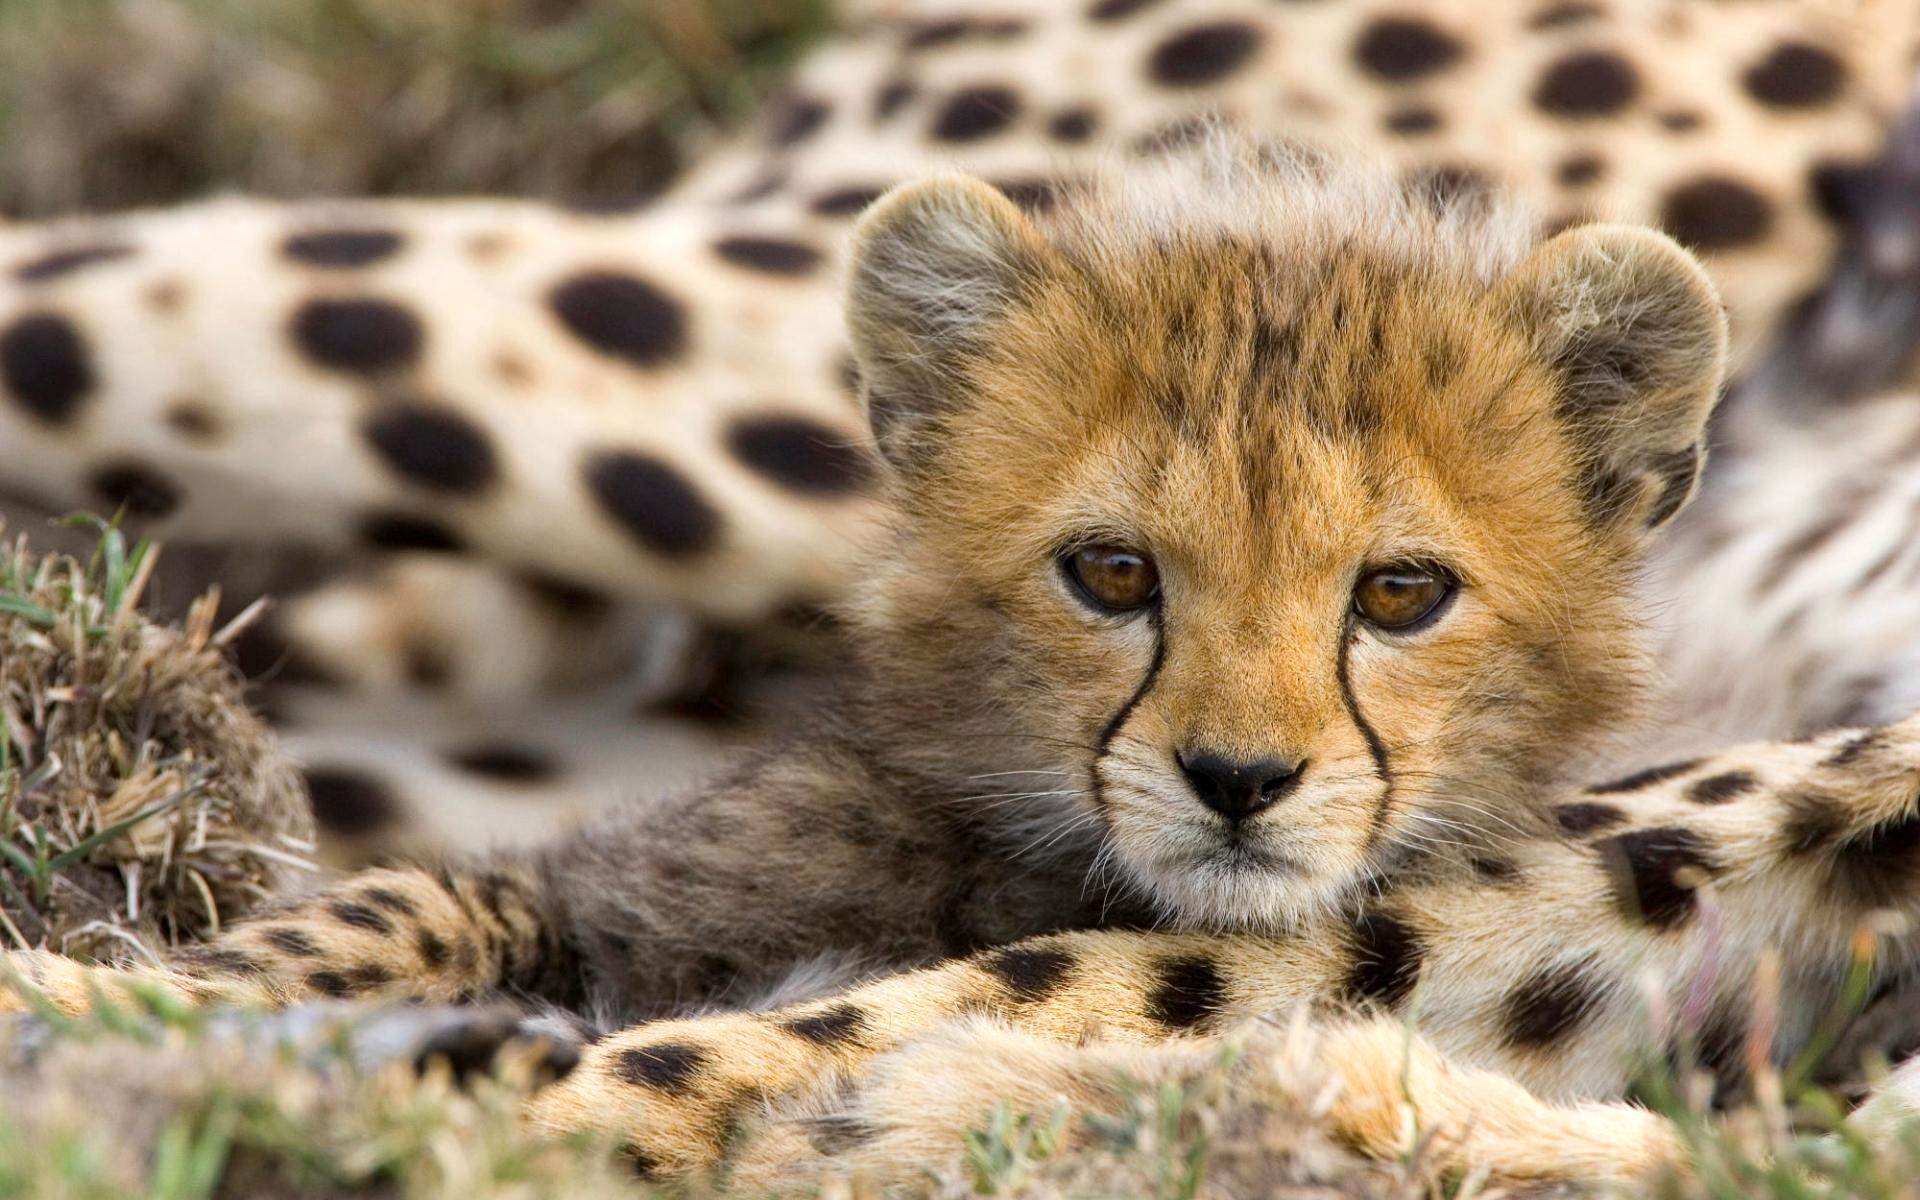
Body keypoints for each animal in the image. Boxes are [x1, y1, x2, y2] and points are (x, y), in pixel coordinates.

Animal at [13, 142, 1920, 1192]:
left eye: (1399, 592)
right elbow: (406, 907)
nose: (1241, 780)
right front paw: (143, 1011)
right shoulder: (614, 887)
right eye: (1112, 573)